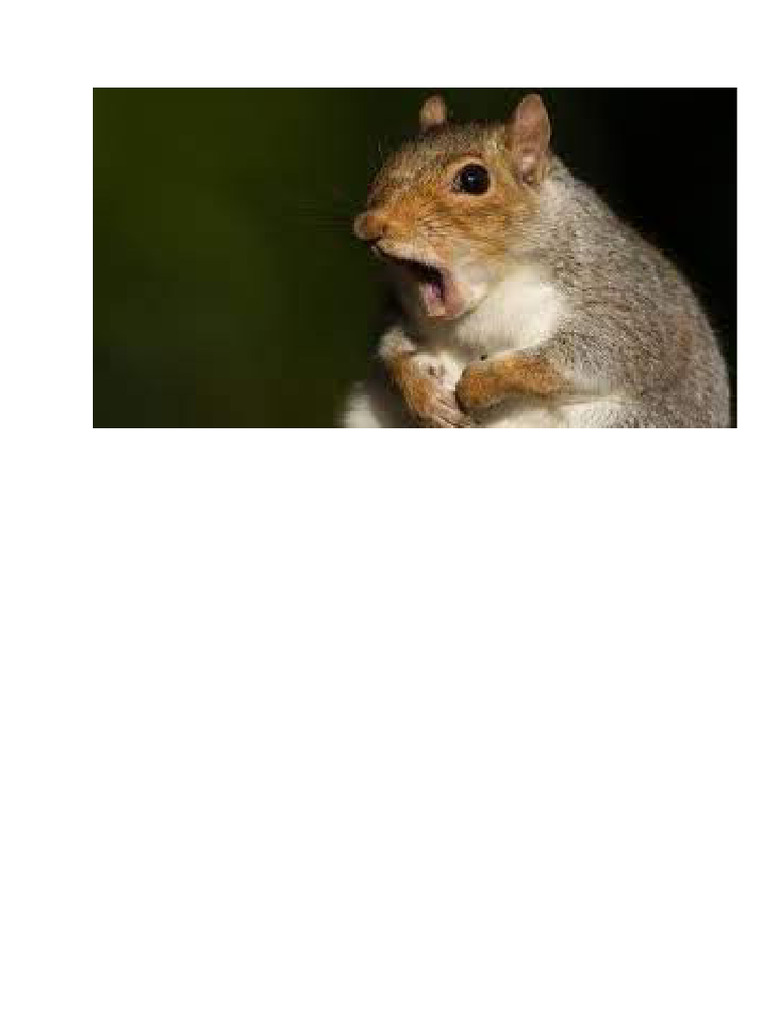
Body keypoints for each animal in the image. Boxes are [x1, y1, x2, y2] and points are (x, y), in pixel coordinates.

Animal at [341, 93, 730, 427]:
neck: (494, 288)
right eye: (391, 160)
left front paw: (481, 382)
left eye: (473, 178)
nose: (367, 225)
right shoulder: (403, 310)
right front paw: (421, 391)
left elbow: (587, 356)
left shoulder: (620, 300)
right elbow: (392, 346)